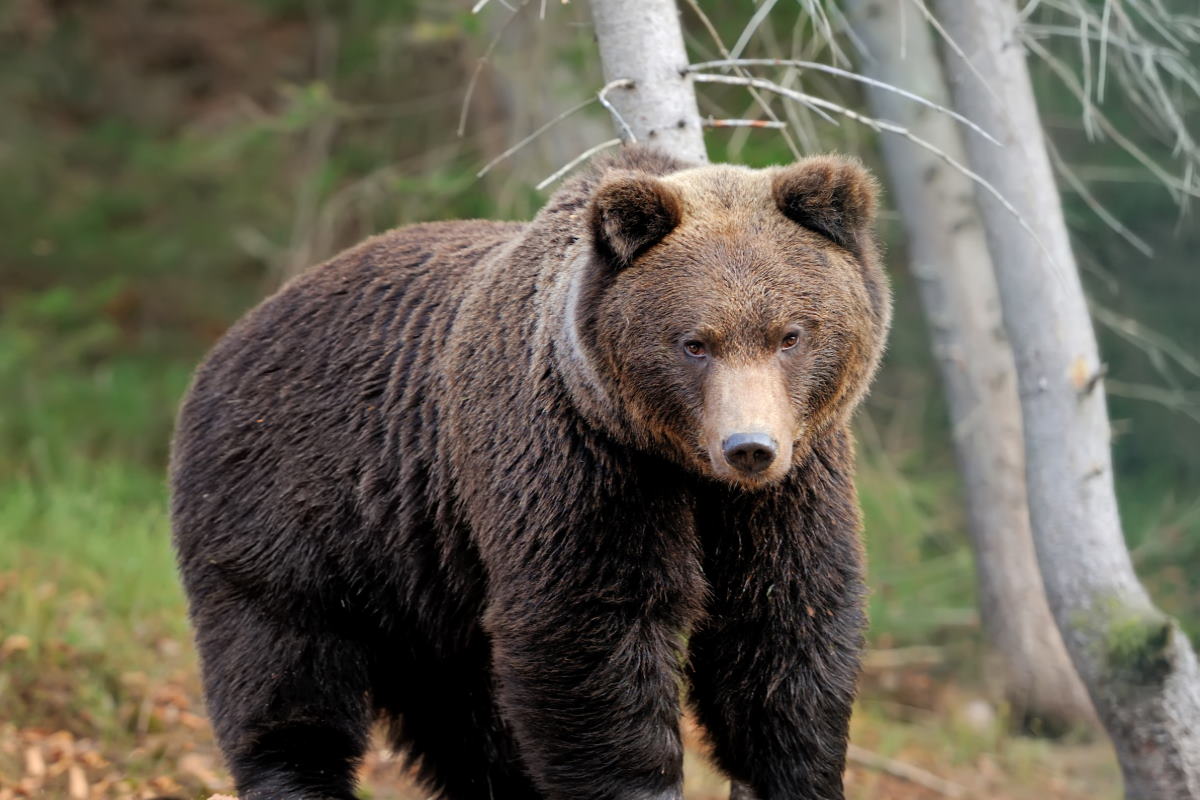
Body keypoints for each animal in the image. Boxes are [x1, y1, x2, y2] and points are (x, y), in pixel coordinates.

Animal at [169, 145, 891, 800]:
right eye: (695, 343)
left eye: (790, 334)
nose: (749, 447)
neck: (679, 463)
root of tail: (235, 337)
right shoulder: (576, 460)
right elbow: (588, 633)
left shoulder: (792, 486)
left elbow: (784, 629)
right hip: (288, 510)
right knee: (285, 673)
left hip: (429, 574)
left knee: (468, 720)